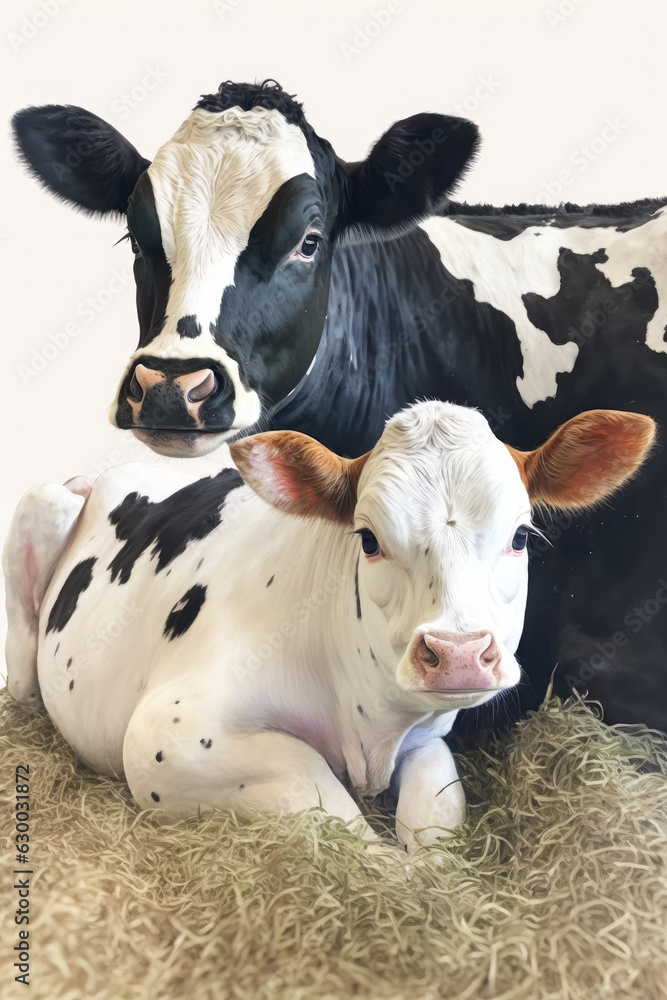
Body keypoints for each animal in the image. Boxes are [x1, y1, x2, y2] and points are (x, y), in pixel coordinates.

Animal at [3, 402, 655, 851]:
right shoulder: (166, 738)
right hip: (40, 507)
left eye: (521, 535)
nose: (459, 653)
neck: (372, 727)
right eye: (368, 539)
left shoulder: (429, 741)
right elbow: (334, 810)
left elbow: (435, 828)